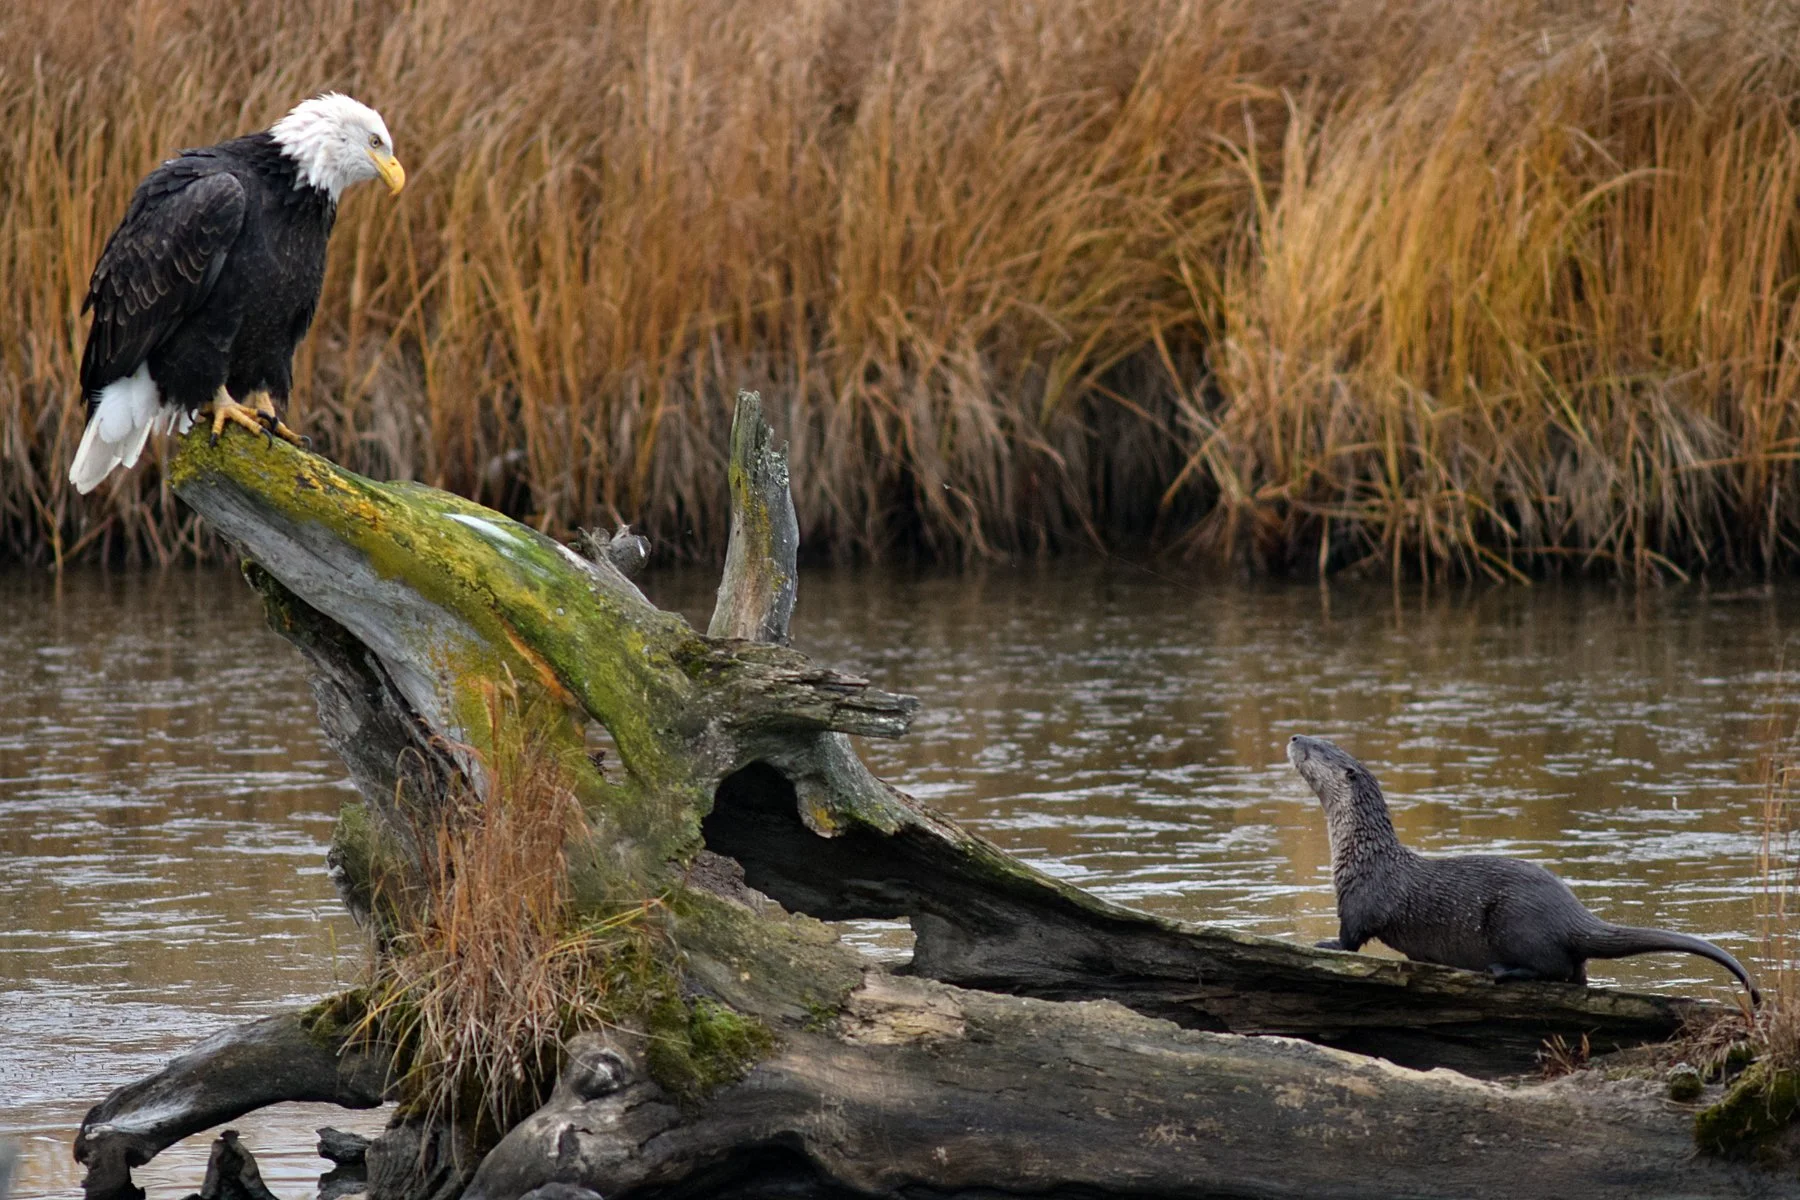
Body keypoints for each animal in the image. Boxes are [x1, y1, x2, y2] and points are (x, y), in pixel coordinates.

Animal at [1285, 734, 1760, 1004]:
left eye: (1318, 748)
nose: (1294, 735)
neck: (1361, 851)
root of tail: (1572, 914)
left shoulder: (1361, 899)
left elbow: (1351, 938)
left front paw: (1326, 944)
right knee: (1577, 975)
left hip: (1515, 921)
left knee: (1551, 968)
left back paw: (1502, 970)